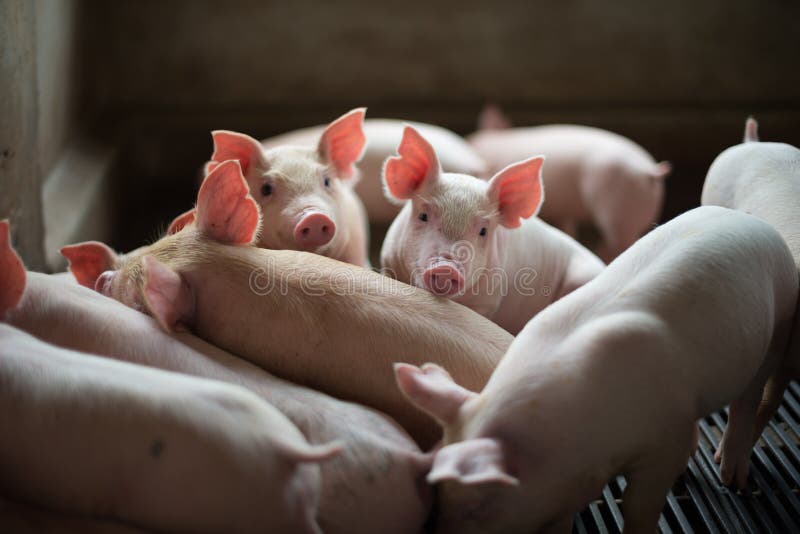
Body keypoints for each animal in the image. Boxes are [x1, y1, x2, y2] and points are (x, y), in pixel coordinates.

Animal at [394, 206, 797, 533]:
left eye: (480, 505)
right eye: (440, 500)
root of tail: (750, 220)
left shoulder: (666, 435)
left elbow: (639, 506)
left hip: (779, 322)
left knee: (750, 397)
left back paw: (729, 477)